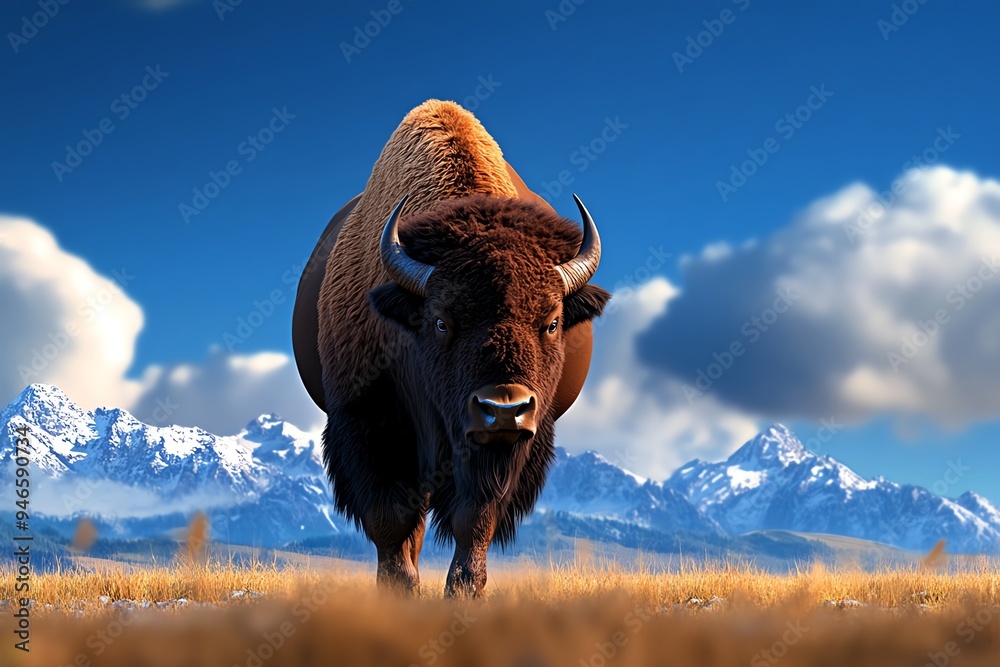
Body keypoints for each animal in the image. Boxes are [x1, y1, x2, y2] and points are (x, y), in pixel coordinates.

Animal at [292, 100, 610, 596]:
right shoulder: (366, 421)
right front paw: (401, 591)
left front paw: (464, 590)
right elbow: (390, 519)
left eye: (553, 322)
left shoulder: (503, 449)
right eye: (441, 321)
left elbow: (474, 517)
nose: (504, 409)